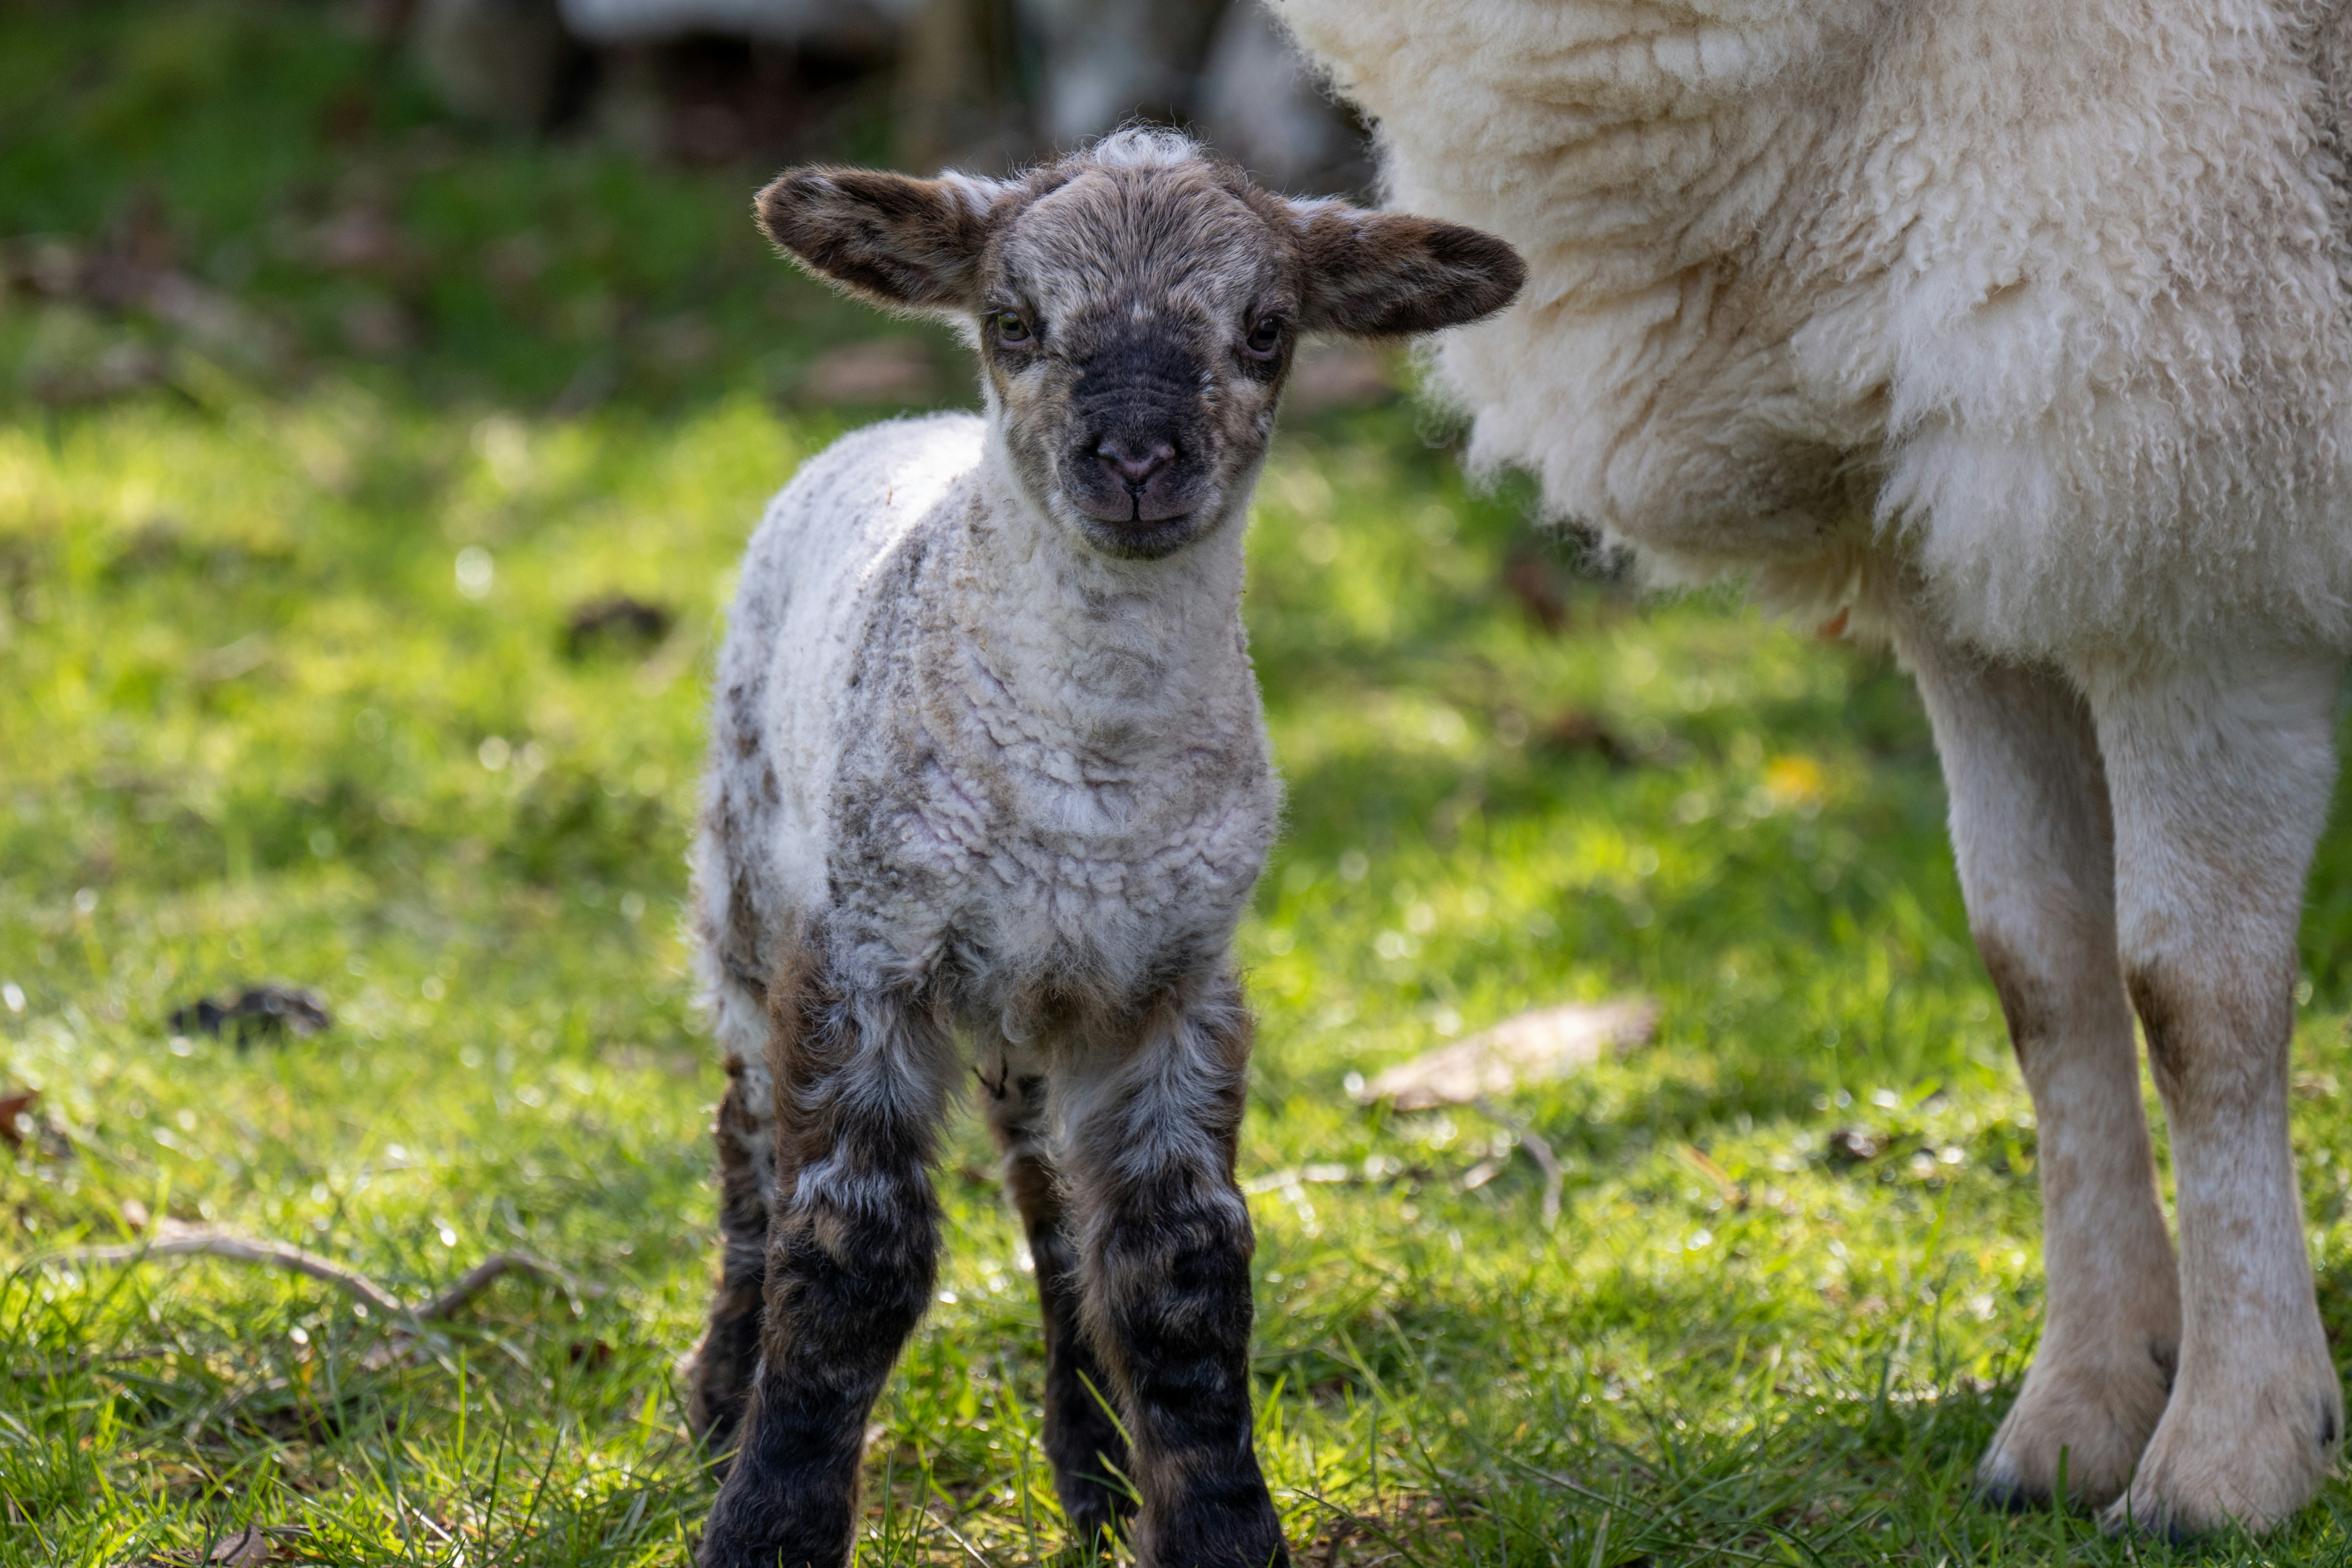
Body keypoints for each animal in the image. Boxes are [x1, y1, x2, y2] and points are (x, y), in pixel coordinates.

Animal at [680, 128, 1523, 1568]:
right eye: (1014, 324)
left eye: (1264, 330)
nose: (1134, 458)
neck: (1090, 775)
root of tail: (907, 429)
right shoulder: (865, 957)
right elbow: (849, 1256)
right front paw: (767, 1520)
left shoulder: (1173, 987)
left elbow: (1179, 1269)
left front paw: (1213, 1525)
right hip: (746, 885)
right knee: (749, 1153)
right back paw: (717, 1405)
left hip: (1040, 998)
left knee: (1049, 1207)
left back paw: (1094, 1470)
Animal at [1272, 0, 2352, 1536]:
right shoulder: (1961, 563)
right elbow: (2040, 971)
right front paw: (2077, 1406)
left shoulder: (2189, 513)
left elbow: (2189, 999)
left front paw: (2229, 1449)